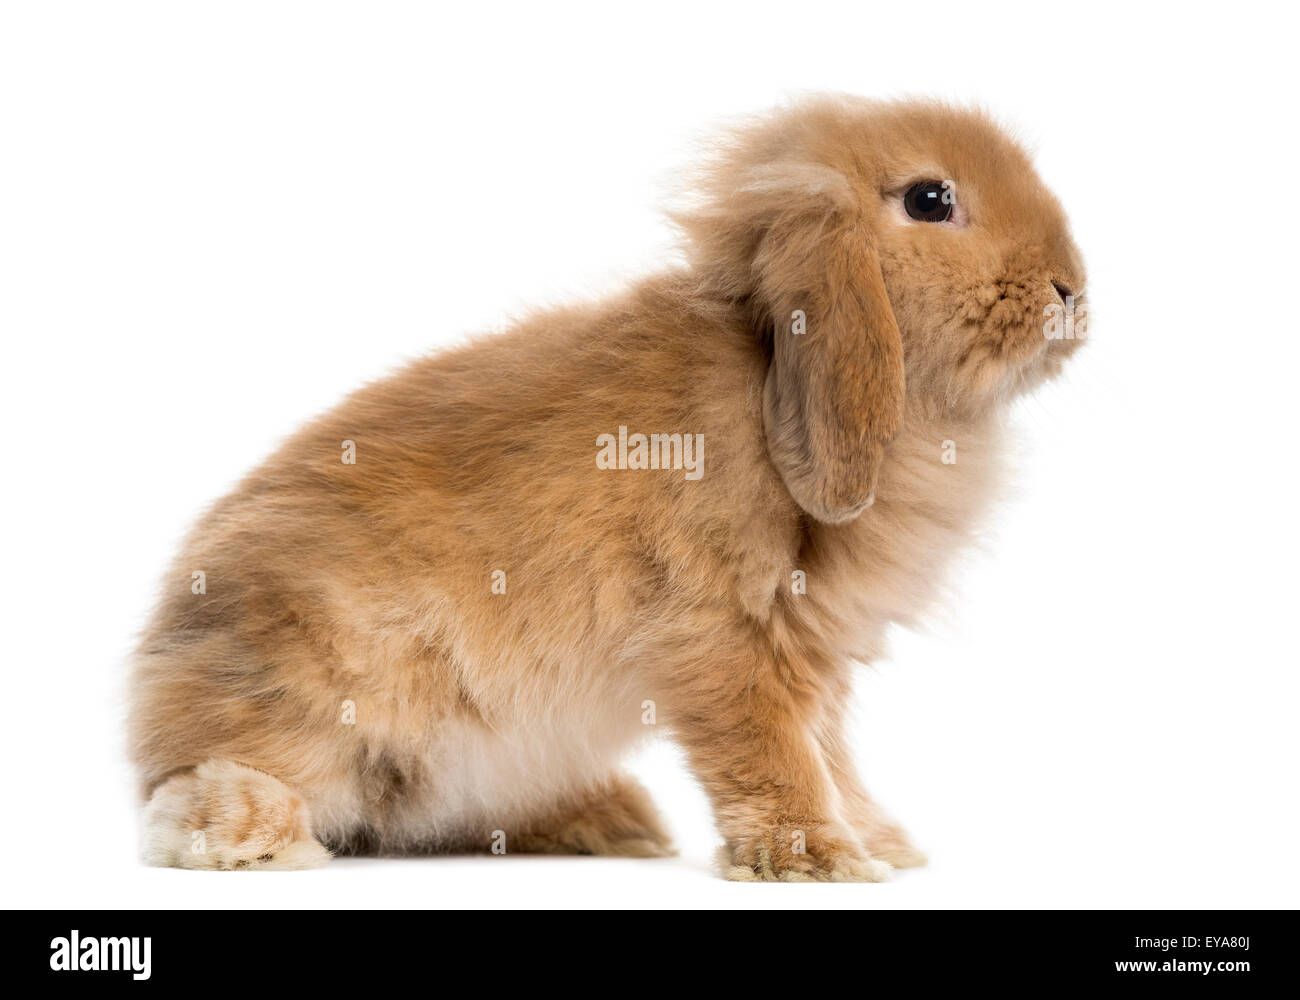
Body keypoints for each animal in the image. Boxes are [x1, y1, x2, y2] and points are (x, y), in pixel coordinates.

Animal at [130, 95, 1086, 879]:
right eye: (930, 200)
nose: (1072, 289)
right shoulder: (721, 637)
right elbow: (773, 748)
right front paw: (820, 858)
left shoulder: (812, 649)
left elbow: (832, 752)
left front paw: (883, 844)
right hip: (316, 694)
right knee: (201, 796)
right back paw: (252, 829)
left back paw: (612, 820)